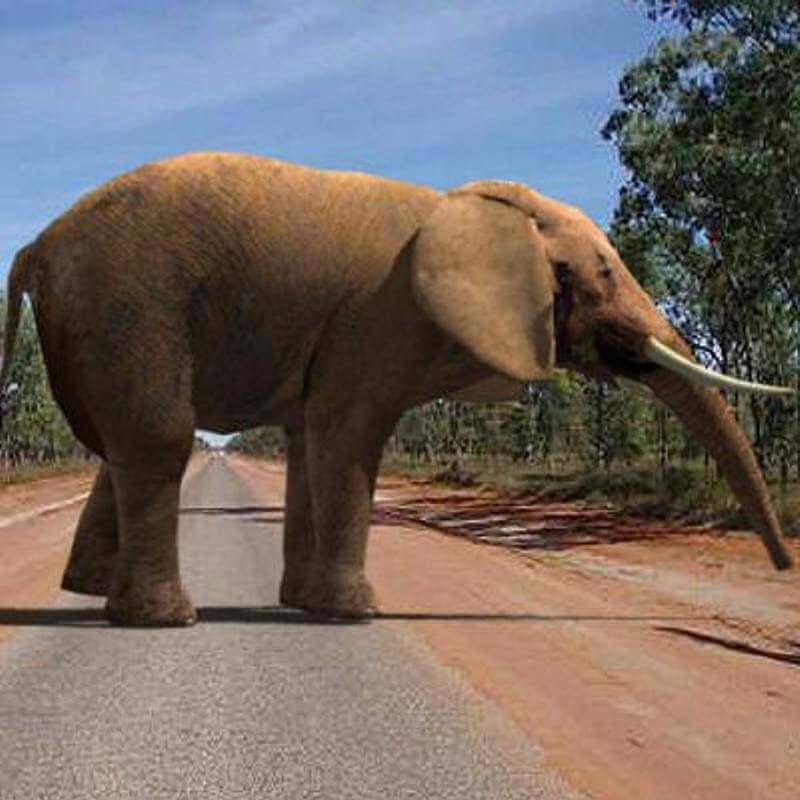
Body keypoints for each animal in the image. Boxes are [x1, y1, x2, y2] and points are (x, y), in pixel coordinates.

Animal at [0, 151, 793, 626]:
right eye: (596, 273)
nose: (786, 565)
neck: (483, 205)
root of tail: (36, 243)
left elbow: (310, 443)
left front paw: (307, 606)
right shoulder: (383, 318)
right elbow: (346, 437)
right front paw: (355, 615)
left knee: (125, 449)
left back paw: (95, 597)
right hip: (133, 305)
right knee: (160, 440)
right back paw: (166, 619)